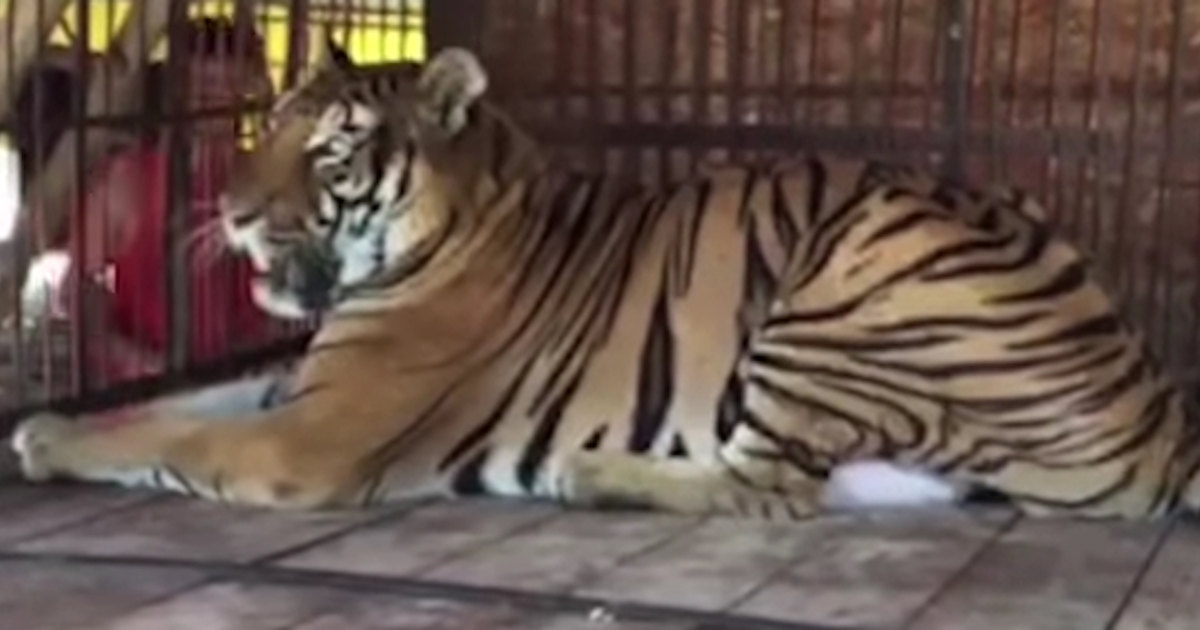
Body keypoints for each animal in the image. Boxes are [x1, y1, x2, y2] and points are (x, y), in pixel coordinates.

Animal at [9, 40, 1200, 521]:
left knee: (769, 493)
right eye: (274, 126)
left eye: (332, 149)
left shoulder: (314, 433)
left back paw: (591, 474)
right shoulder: (295, 380)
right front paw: (53, 423)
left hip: (857, 270)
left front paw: (46, 441)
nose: (234, 211)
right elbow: (176, 401)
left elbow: (181, 437)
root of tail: (1159, 411)